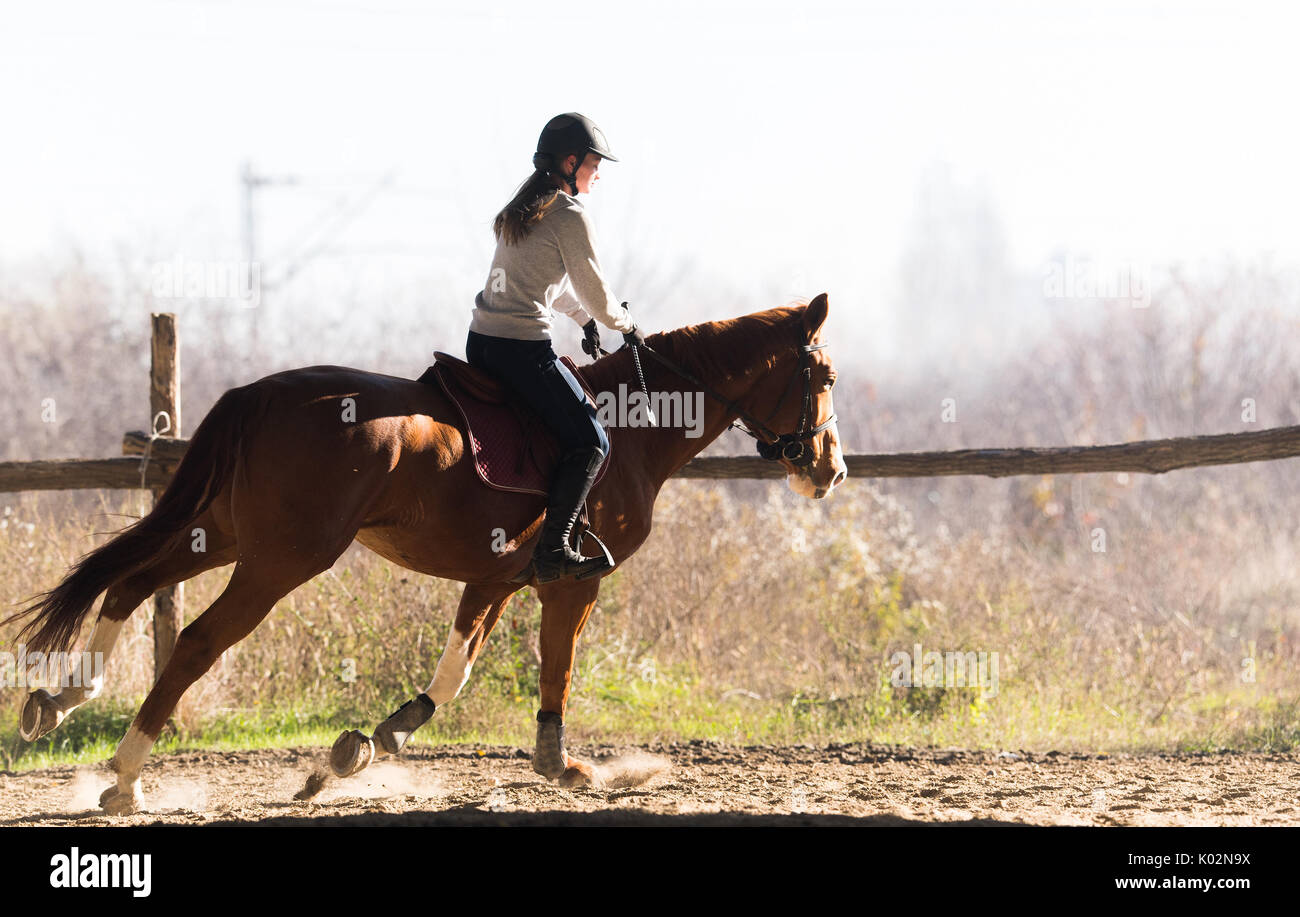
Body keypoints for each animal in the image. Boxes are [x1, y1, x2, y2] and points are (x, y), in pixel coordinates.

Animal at [7, 294, 846, 814]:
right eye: (827, 376)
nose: (830, 469)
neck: (630, 427)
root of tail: (261, 392)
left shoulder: (497, 575)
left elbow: (454, 669)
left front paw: (368, 745)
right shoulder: (571, 583)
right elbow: (557, 667)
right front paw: (564, 766)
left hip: (225, 534)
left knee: (128, 584)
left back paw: (60, 700)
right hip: (281, 560)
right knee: (194, 641)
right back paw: (125, 776)